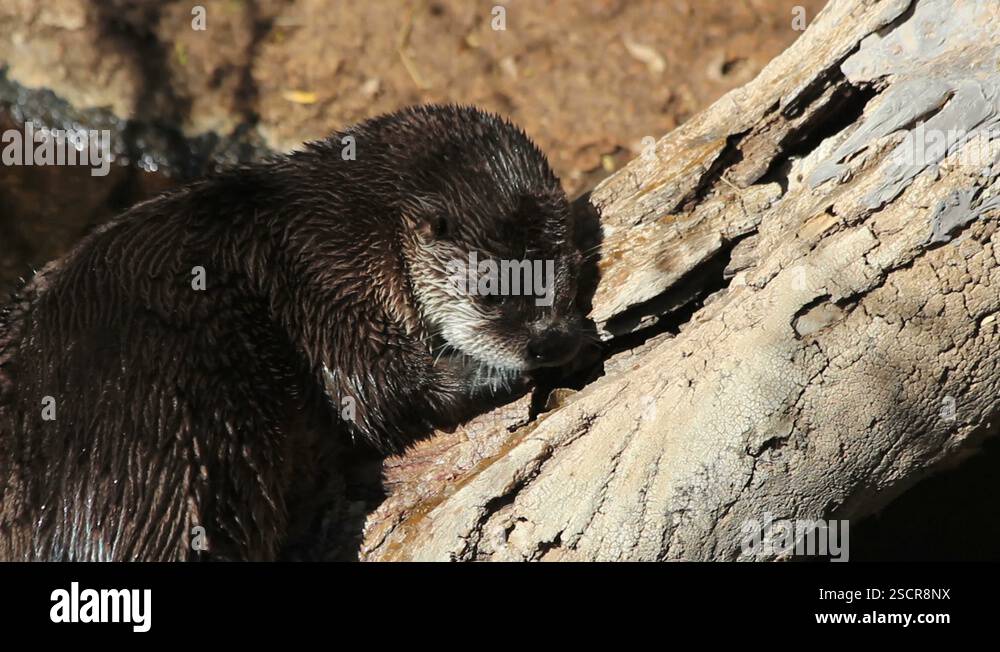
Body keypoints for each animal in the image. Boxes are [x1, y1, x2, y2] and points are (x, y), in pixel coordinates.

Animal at [0, 105, 582, 561]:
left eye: (566, 271)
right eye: (491, 292)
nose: (548, 341)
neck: (361, 217)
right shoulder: (321, 274)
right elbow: (374, 393)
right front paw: (495, 374)